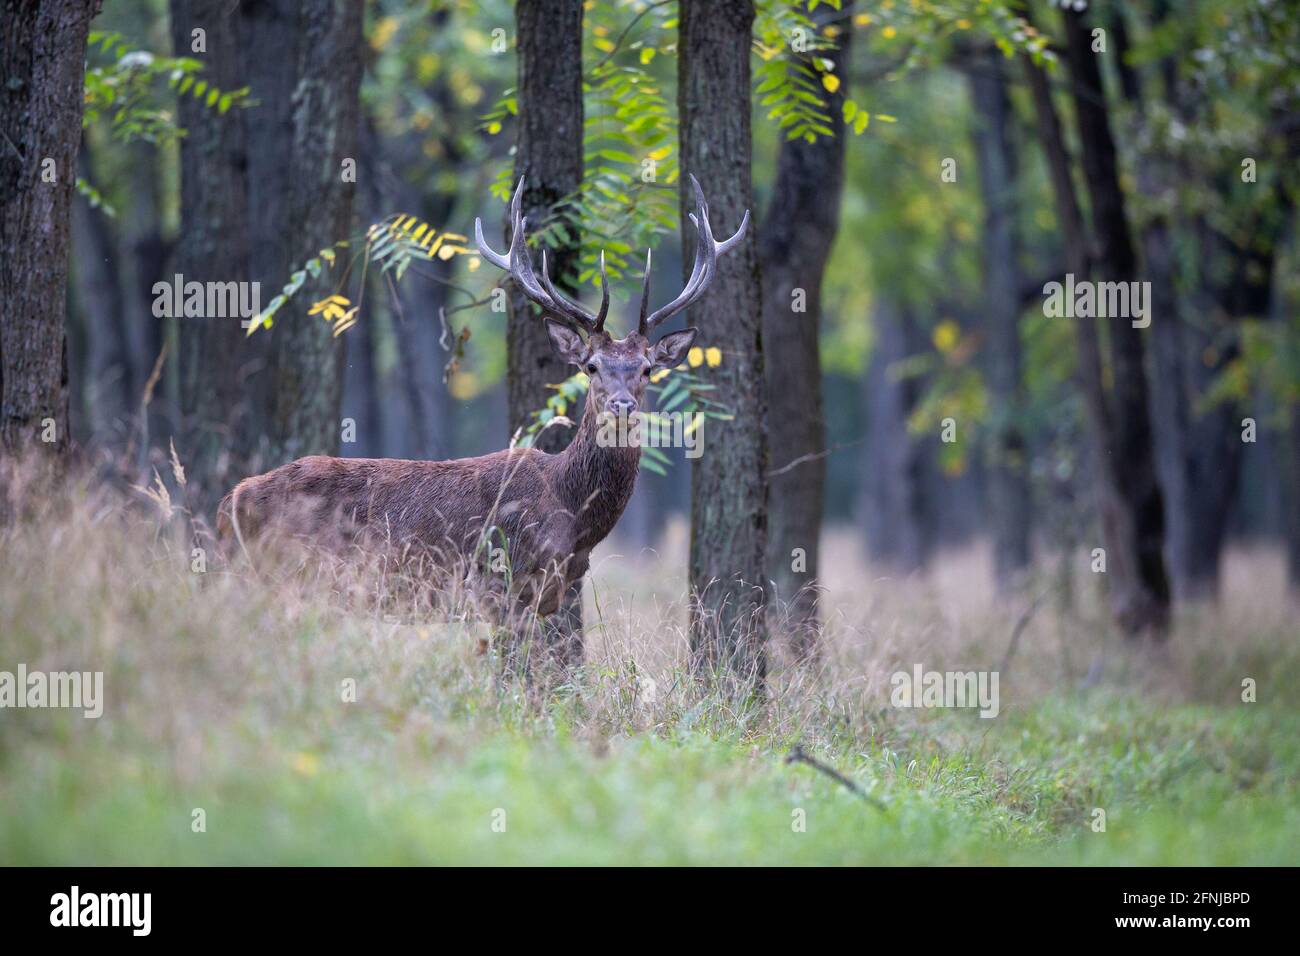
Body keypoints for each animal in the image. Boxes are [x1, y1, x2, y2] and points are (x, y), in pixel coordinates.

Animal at [217, 176, 748, 632]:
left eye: (646, 368)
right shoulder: (496, 579)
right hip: (284, 574)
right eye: (592, 366)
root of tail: (232, 499)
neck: (571, 515)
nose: (622, 405)